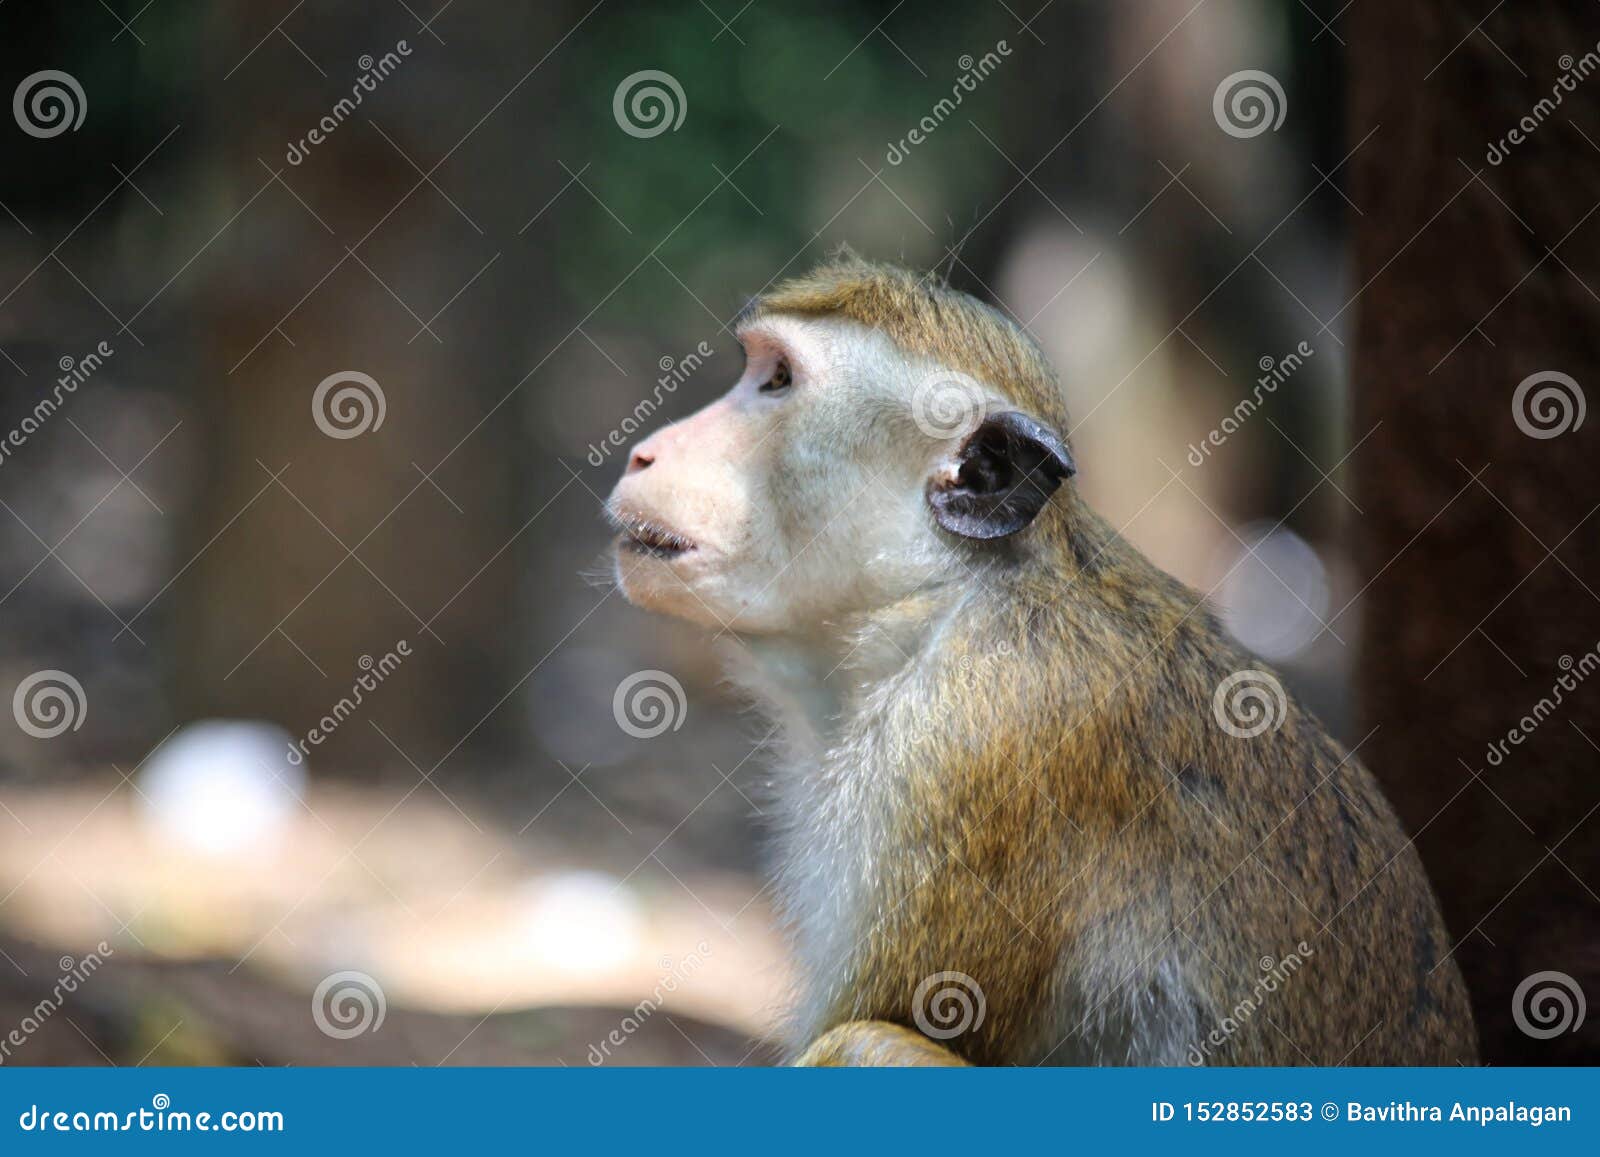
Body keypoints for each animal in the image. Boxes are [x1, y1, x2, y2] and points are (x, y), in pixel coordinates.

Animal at [604, 252, 1477, 1067]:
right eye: (756, 367)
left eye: (778, 381)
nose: (645, 454)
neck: (941, 604)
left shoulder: (968, 744)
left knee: (867, 1041)